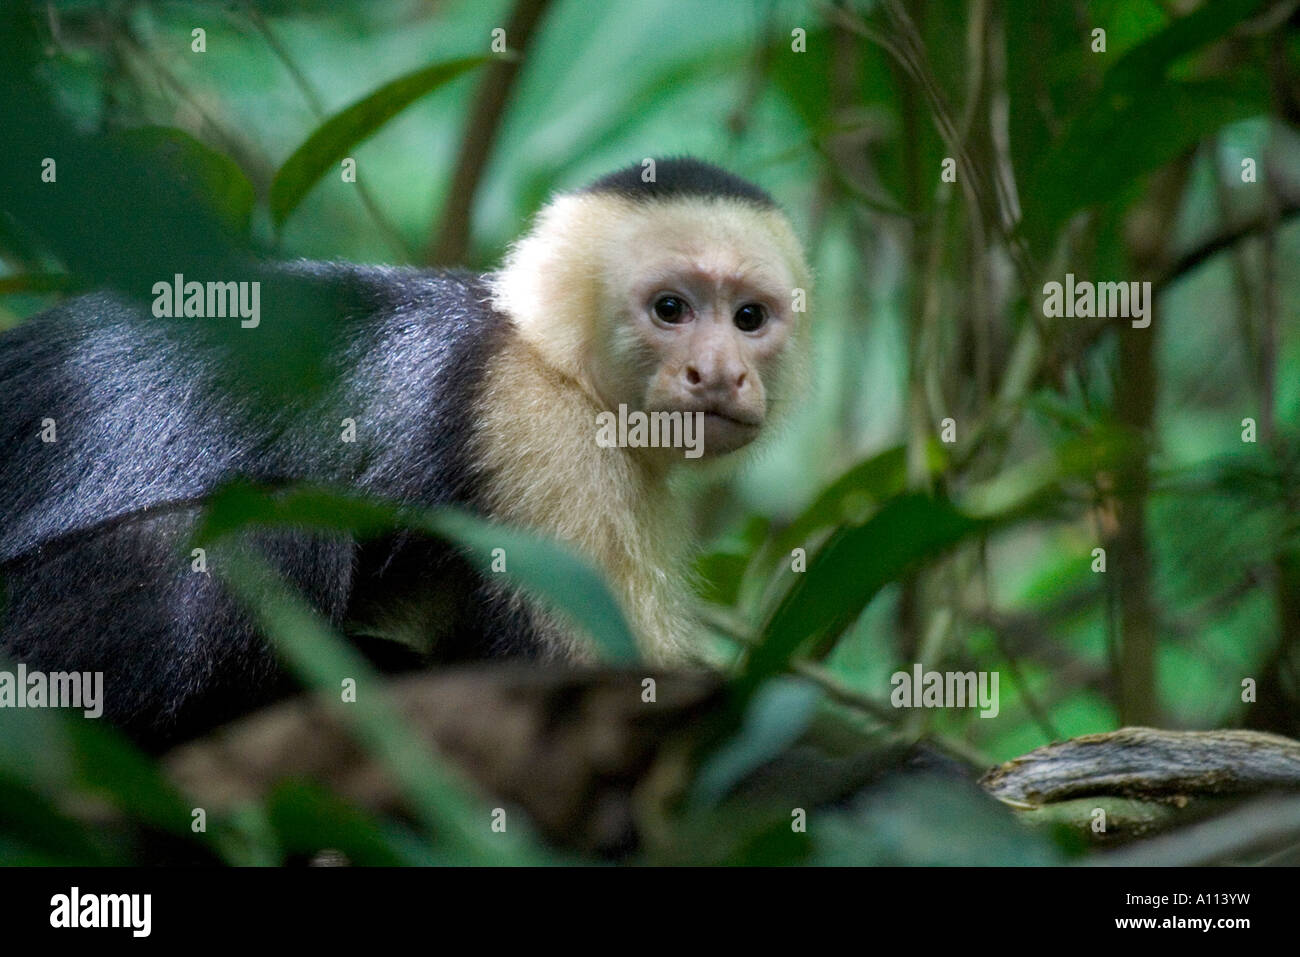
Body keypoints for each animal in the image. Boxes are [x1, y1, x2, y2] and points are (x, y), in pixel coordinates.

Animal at [0, 157, 812, 750]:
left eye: (749, 319)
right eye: (671, 309)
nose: (719, 373)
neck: (547, 357)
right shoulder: (536, 435)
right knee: (275, 535)